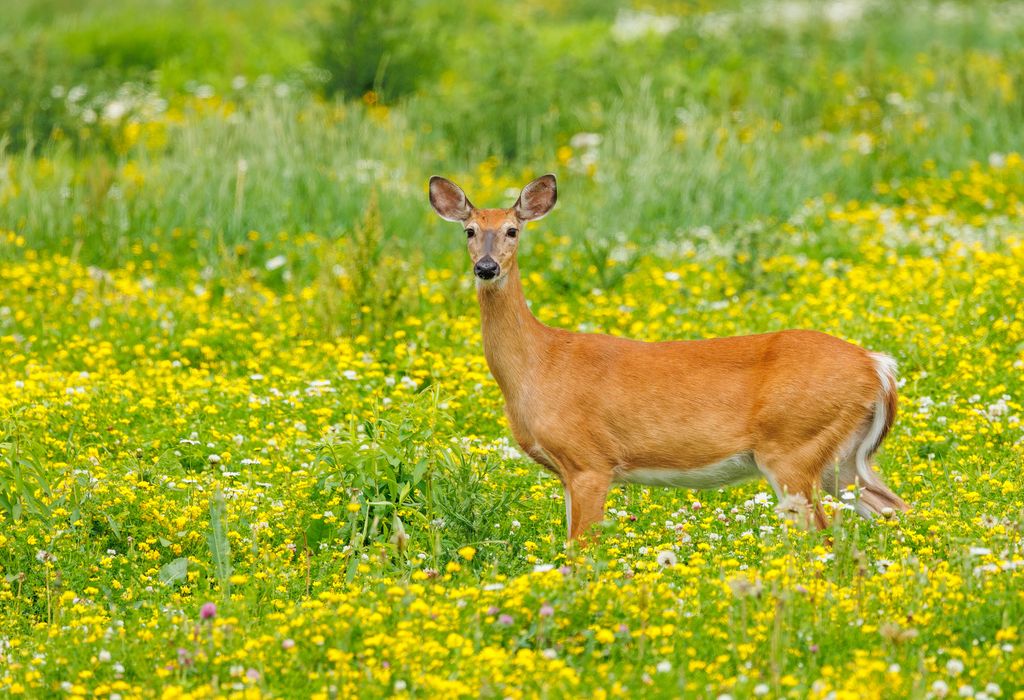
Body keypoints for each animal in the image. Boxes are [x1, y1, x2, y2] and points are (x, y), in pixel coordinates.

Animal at [428, 173, 909, 541]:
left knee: (822, 534)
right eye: (469, 231)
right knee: (896, 509)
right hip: (842, 459)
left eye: (513, 230)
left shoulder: (590, 461)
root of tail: (878, 366)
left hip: (794, 445)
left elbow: (580, 551)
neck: (539, 363)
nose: (486, 267)